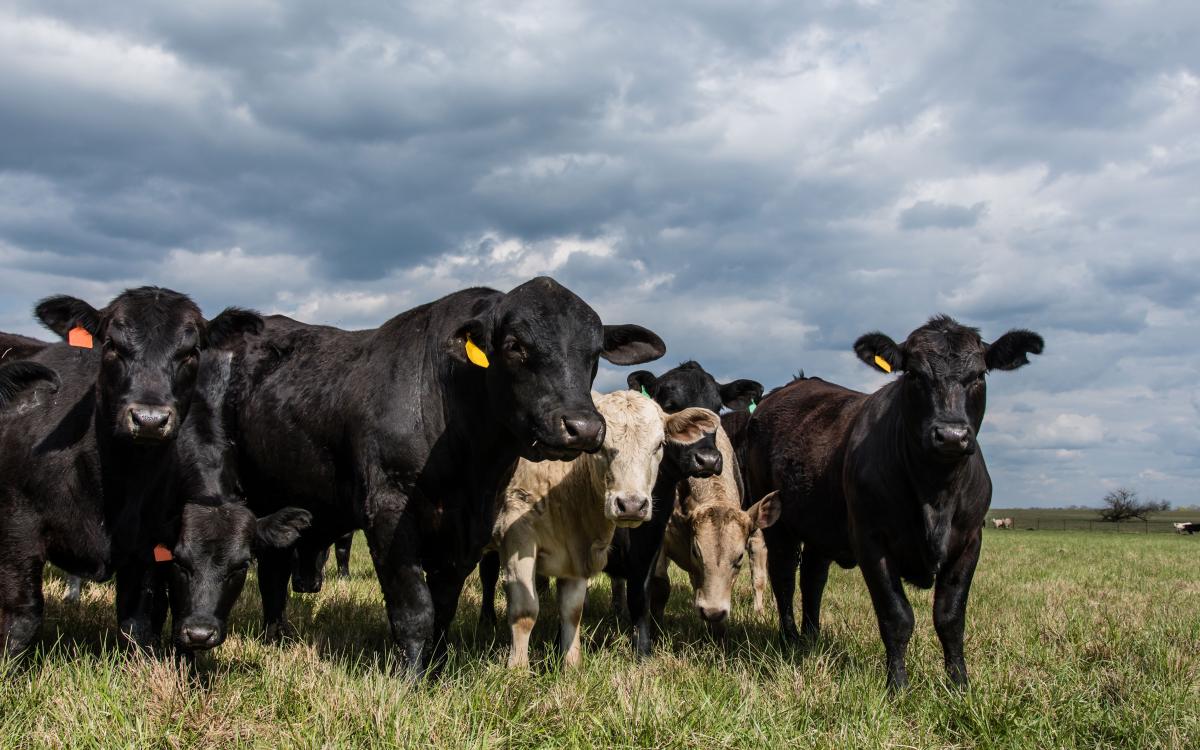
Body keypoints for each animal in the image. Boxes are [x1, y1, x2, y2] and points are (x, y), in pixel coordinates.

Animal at [0, 287, 262, 655]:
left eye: (192, 350)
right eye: (111, 344)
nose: (150, 419)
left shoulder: (148, 544)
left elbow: (138, 622)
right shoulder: (17, 526)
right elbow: (22, 618)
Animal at [223, 277, 665, 677]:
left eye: (594, 353)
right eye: (515, 345)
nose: (583, 427)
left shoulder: (471, 527)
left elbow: (444, 604)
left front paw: (437, 665)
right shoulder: (389, 515)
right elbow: (415, 607)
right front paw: (411, 677)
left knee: (274, 568)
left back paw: (277, 637)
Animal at [492, 391, 716, 668]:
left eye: (659, 445)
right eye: (599, 445)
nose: (631, 505)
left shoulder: (579, 552)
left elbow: (572, 611)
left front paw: (571, 666)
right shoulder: (517, 535)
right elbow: (525, 611)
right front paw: (517, 670)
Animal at [744, 315, 1043, 689]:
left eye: (979, 375)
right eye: (913, 374)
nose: (951, 436)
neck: (935, 492)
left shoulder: (970, 541)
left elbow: (950, 617)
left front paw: (959, 683)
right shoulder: (871, 540)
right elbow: (897, 615)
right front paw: (897, 685)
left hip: (821, 525)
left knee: (813, 576)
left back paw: (812, 637)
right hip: (777, 518)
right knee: (783, 573)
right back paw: (790, 638)